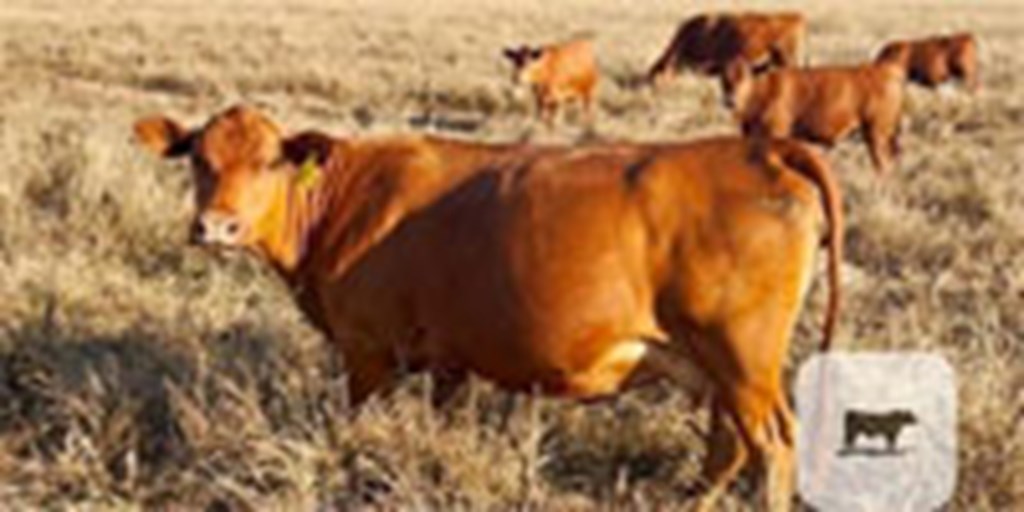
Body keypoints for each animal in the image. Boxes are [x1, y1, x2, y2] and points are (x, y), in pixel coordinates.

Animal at [134, 105, 843, 512]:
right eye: (199, 159)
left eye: (267, 162)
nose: (215, 226)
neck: (345, 203)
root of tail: (759, 148)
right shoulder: (449, 362)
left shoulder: (366, 355)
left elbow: (352, 427)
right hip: (720, 367)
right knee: (728, 446)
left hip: (743, 358)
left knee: (772, 445)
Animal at [720, 60, 905, 174]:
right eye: (723, 78)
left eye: (745, 77)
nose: (730, 100)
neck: (764, 90)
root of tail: (887, 71)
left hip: (876, 135)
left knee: (883, 167)